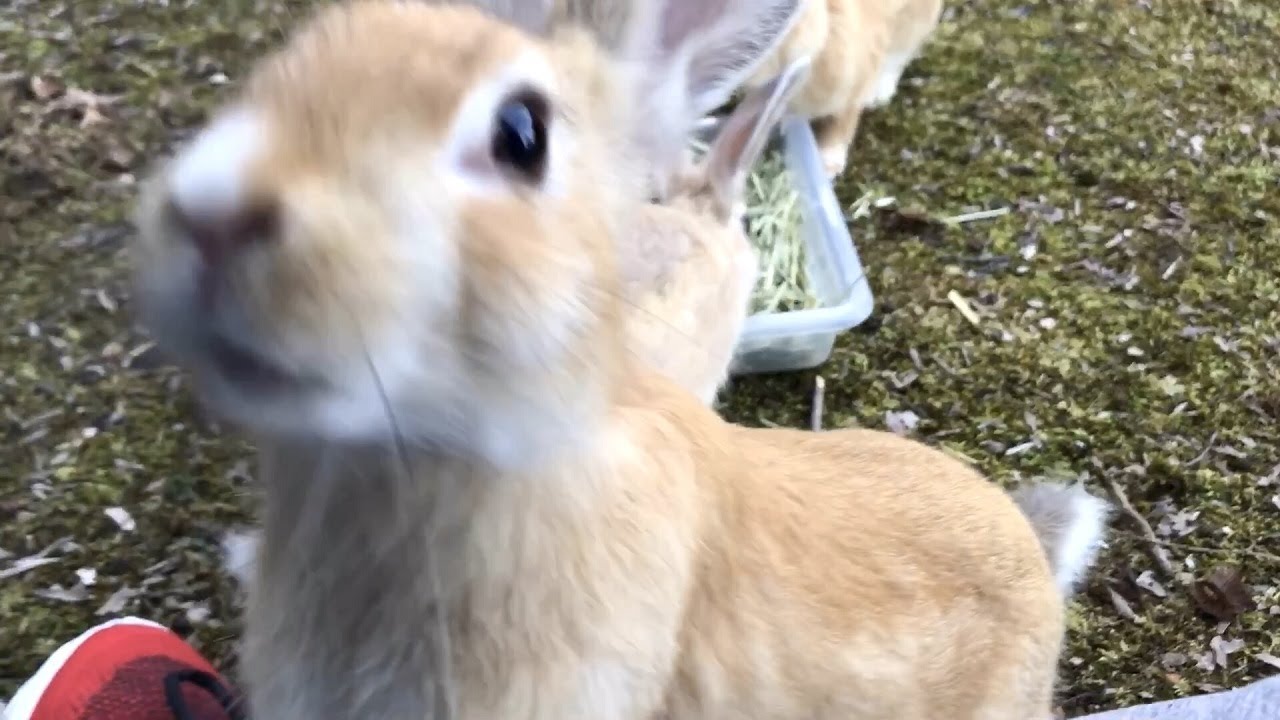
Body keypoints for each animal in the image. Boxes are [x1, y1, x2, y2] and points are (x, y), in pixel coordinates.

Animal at [744, 0, 944, 179]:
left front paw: (828, 168)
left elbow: (841, 125)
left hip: (914, 23)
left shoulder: (852, 90)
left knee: (898, 57)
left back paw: (878, 95)